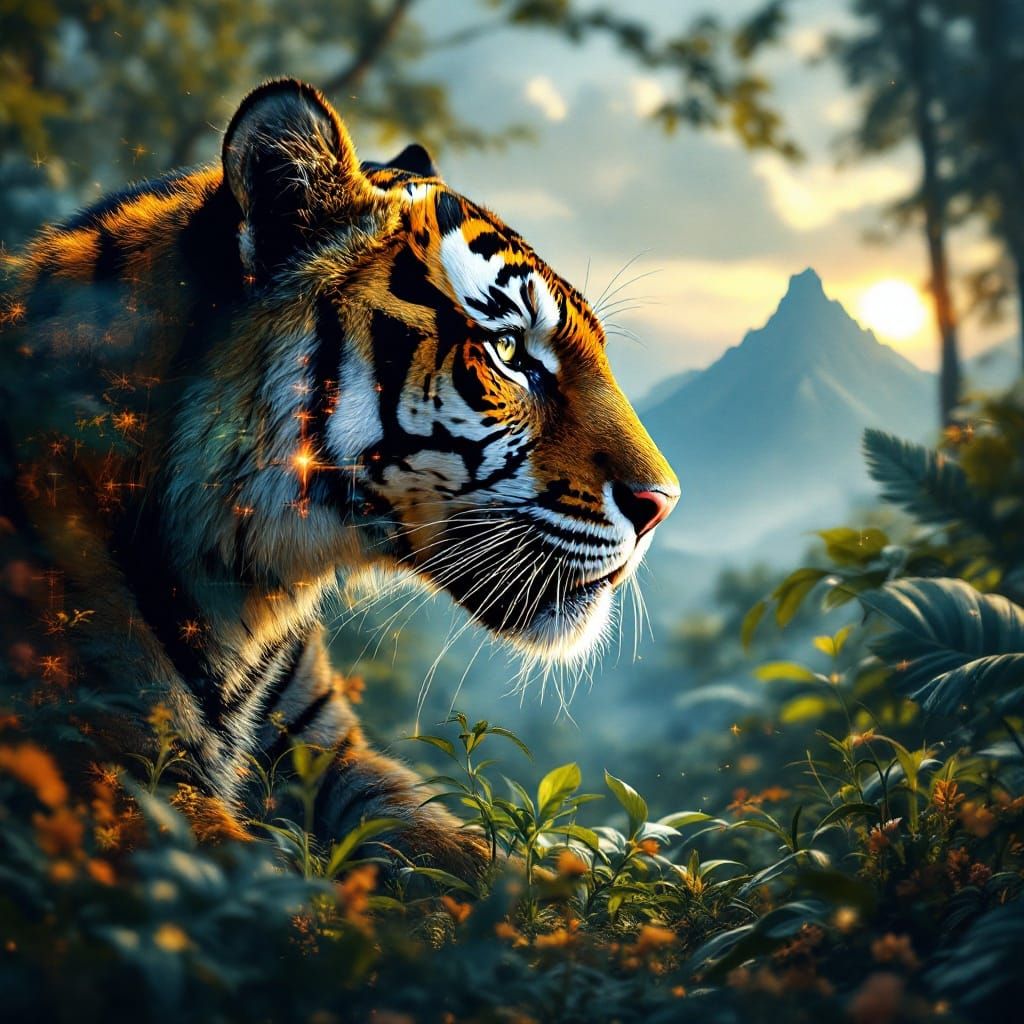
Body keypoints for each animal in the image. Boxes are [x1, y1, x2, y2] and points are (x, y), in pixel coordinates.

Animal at [0, 79, 678, 876]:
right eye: (510, 350)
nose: (663, 505)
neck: (249, 598)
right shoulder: (115, 775)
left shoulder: (332, 756)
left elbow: (477, 863)